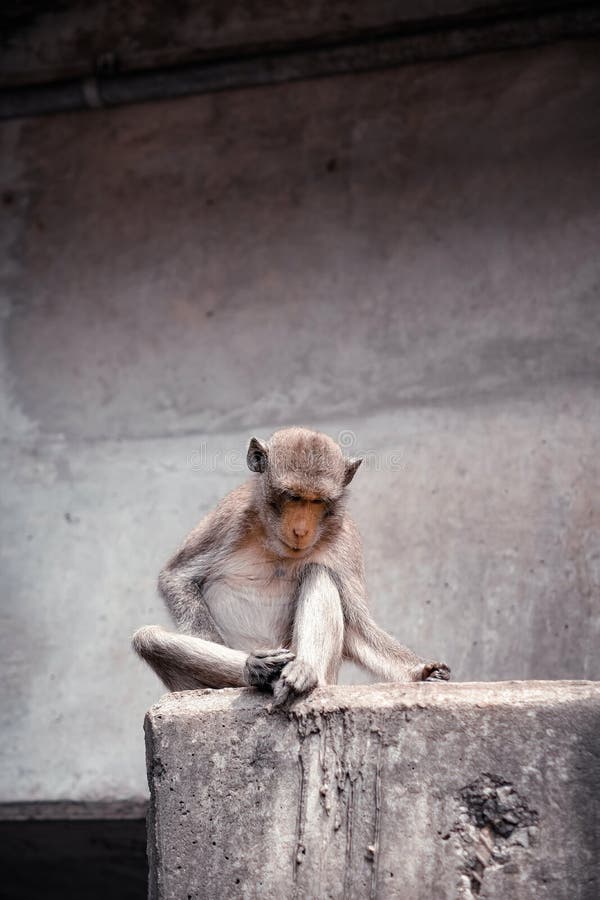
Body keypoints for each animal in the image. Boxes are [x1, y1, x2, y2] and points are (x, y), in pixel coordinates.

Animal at [132, 427, 450, 707]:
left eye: (318, 501)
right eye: (293, 497)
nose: (301, 530)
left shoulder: (345, 539)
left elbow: (358, 626)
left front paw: (420, 672)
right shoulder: (232, 515)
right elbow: (177, 577)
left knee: (319, 572)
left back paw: (303, 673)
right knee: (148, 638)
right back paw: (257, 669)